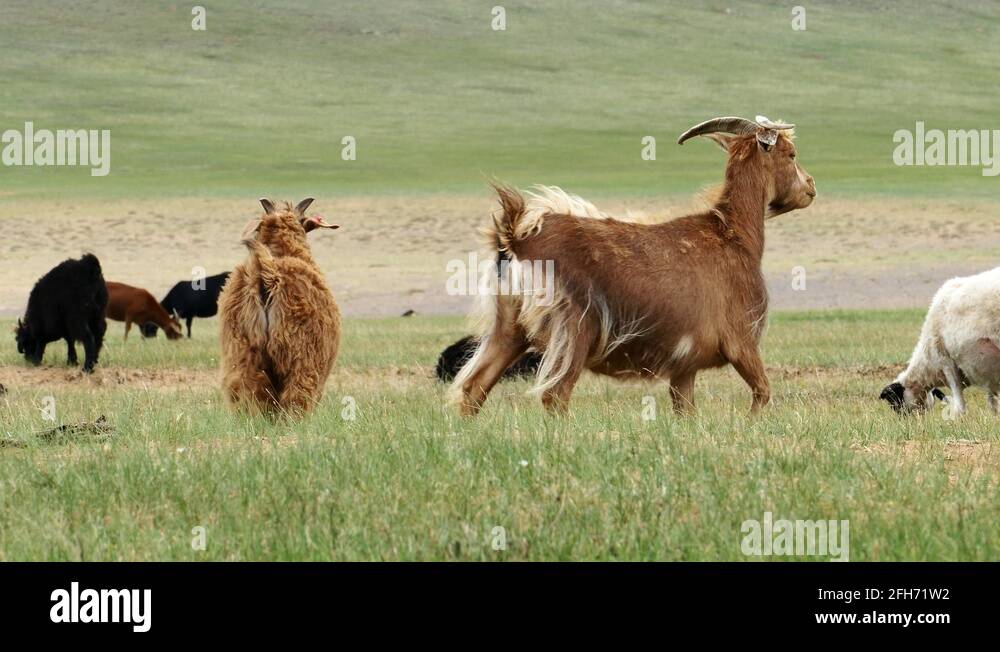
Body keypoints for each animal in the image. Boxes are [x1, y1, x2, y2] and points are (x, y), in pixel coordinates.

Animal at [450, 116, 816, 416]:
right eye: (791, 154)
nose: (811, 186)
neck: (731, 234)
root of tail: (516, 239)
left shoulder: (685, 366)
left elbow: (685, 409)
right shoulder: (741, 341)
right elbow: (762, 393)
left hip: (508, 328)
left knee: (473, 389)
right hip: (573, 331)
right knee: (555, 396)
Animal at [880, 267, 1000, 415]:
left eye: (894, 402)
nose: (904, 420)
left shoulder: (946, 361)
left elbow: (959, 403)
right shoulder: (988, 371)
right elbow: (992, 400)